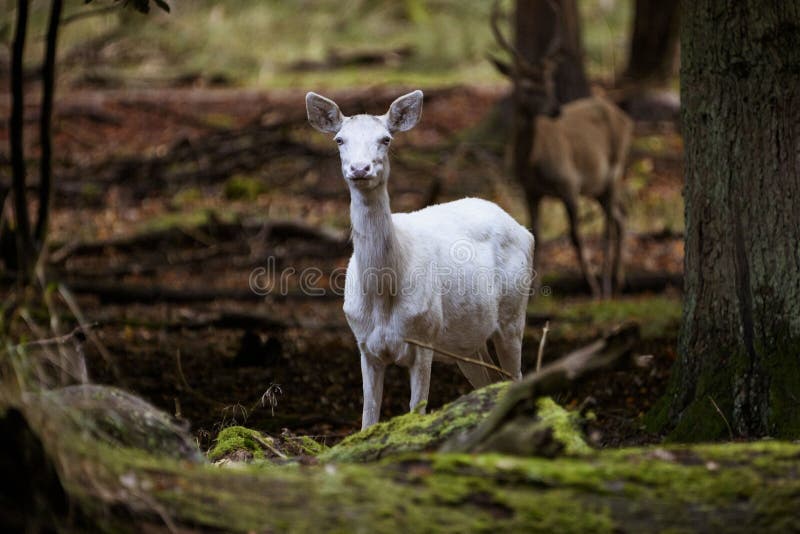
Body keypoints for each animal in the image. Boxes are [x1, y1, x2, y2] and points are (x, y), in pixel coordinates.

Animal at [306, 90, 534, 429]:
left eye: (386, 139)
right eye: (339, 139)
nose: (360, 169)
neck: (384, 296)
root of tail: (524, 230)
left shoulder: (425, 337)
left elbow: (417, 410)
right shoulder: (364, 344)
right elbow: (368, 416)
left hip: (513, 312)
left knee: (516, 375)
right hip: (466, 339)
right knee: (489, 381)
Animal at [490, 0, 633, 298]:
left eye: (550, 82)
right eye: (526, 86)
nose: (555, 109)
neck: (531, 162)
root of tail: (626, 118)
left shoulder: (569, 182)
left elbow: (576, 235)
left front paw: (590, 286)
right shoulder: (530, 191)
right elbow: (537, 234)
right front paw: (534, 288)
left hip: (614, 169)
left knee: (609, 225)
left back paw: (606, 285)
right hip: (599, 186)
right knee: (621, 216)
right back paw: (618, 280)